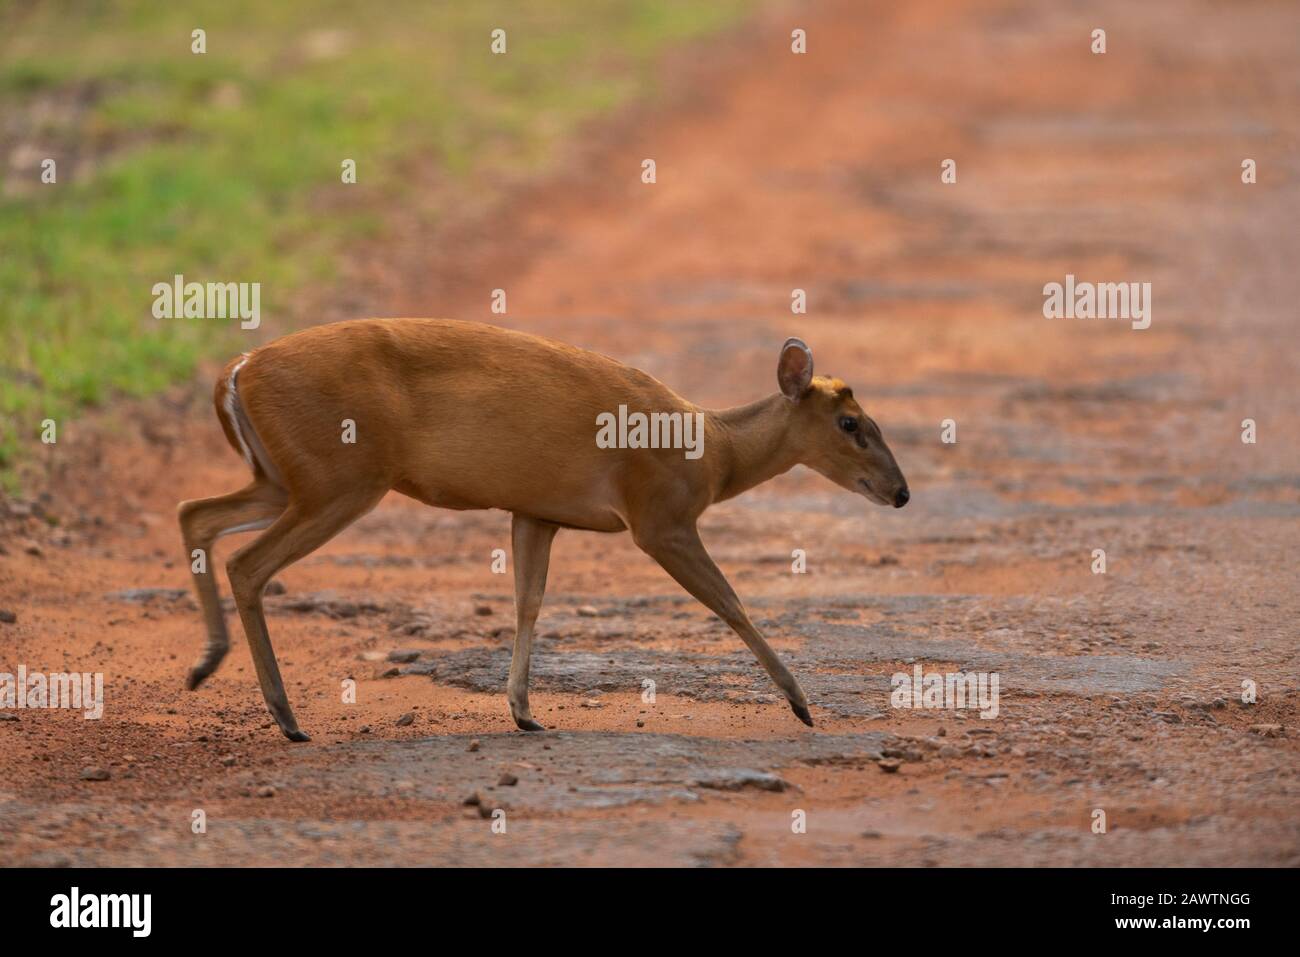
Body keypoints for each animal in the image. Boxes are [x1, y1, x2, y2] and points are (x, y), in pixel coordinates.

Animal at [178, 319, 909, 741]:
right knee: (247, 563)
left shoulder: (537, 511)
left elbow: (528, 602)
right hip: (341, 476)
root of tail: (237, 371)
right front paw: (803, 704)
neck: (713, 453)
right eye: (851, 423)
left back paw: (206, 666)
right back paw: (286, 718)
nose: (901, 492)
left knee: (196, 514)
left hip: (285, 477)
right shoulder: (659, 516)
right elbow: (731, 602)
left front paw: (523, 709)